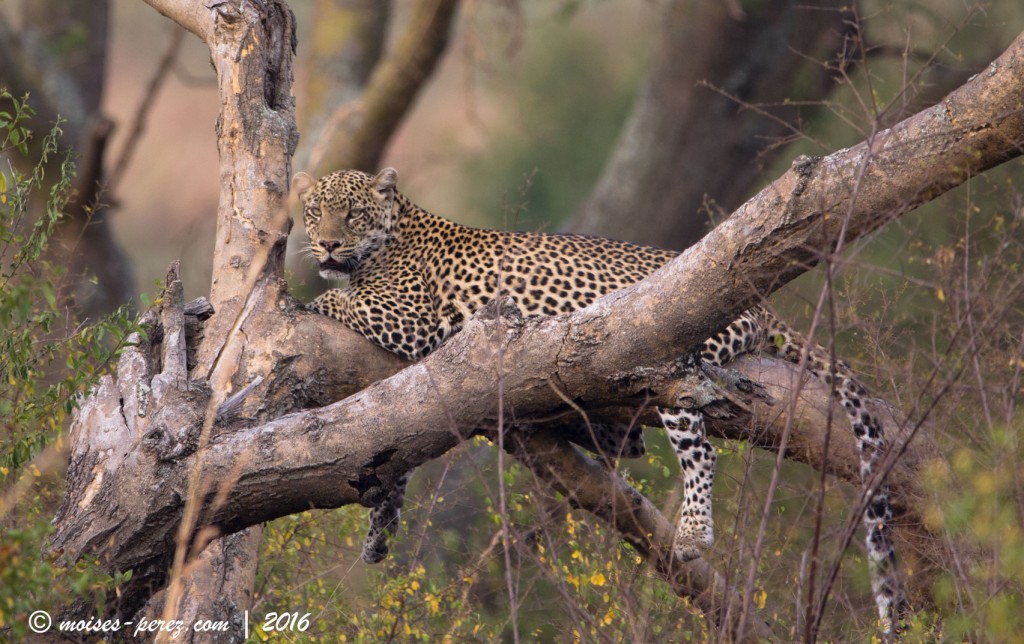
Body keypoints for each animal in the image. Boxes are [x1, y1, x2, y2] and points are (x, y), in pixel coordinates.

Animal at [293, 167, 908, 633]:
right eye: (314, 212)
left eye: (351, 214)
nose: (326, 243)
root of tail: (762, 304)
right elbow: (393, 456)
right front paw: (380, 531)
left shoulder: (406, 318)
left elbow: (339, 301)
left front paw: (299, 301)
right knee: (628, 444)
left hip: (671, 354)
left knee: (698, 447)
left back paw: (693, 532)